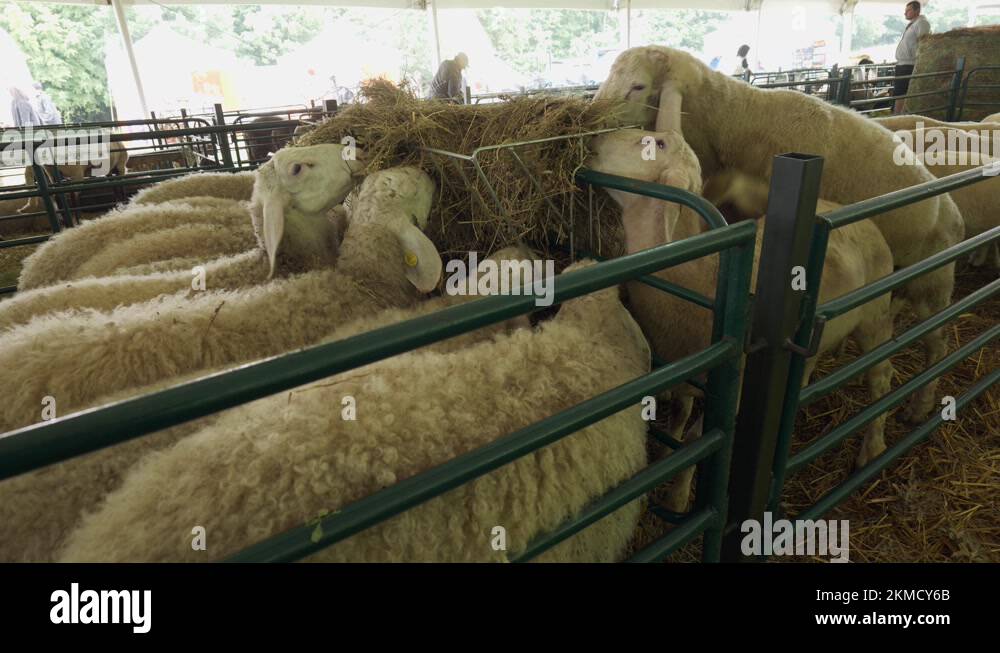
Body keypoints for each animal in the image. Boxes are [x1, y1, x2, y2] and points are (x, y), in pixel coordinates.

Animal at [587, 129, 895, 509]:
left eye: (658, 145)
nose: (594, 142)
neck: (697, 275)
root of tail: (862, 217)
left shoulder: (731, 387)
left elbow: (697, 440)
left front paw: (677, 498)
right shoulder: (686, 365)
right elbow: (680, 413)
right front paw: (666, 453)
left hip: (875, 316)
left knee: (882, 376)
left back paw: (872, 448)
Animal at [593, 46, 964, 423]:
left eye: (638, 86)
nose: (591, 124)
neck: (735, 116)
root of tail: (952, 209)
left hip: (933, 283)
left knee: (937, 342)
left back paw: (921, 406)